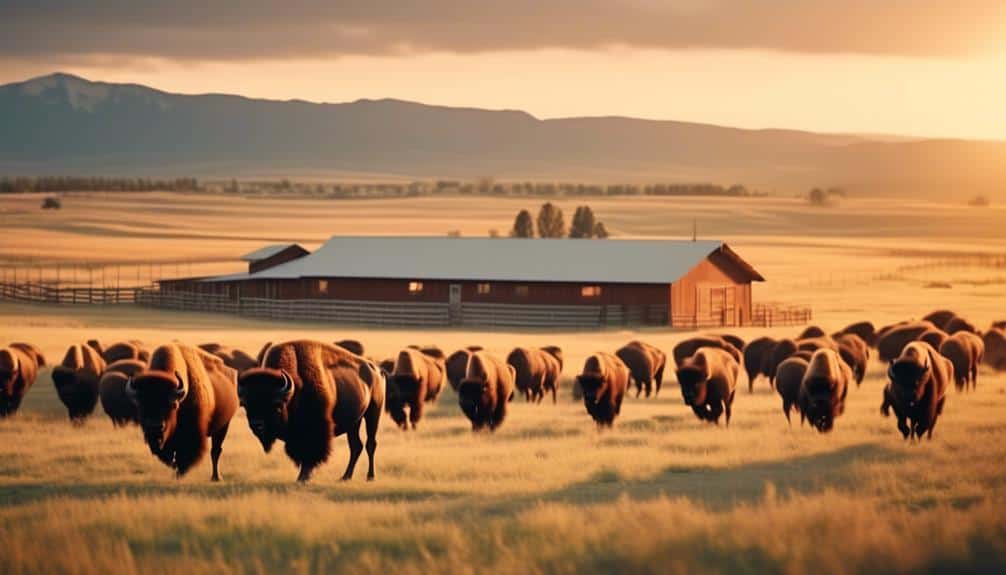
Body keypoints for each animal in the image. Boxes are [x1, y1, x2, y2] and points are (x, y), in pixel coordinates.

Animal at [125, 344, 238, 480]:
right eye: (140, 405)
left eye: (173, 405)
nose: (155, 427)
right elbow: (169, 457)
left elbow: (184, 457)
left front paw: (180, 474)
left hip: (223, 426)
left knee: (215, 451)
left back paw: (216, 477)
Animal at [238, 340, 385, 482]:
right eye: (246, 405)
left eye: (277, 405)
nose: (256, 425)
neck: (295, 391)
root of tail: (375, 369)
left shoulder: (315, 431)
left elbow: (310, 453)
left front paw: (303, 477)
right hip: (354, 422)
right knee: (355, 446)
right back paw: (345, 477)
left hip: (373, 412)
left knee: (370, 444)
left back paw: (370, 476)